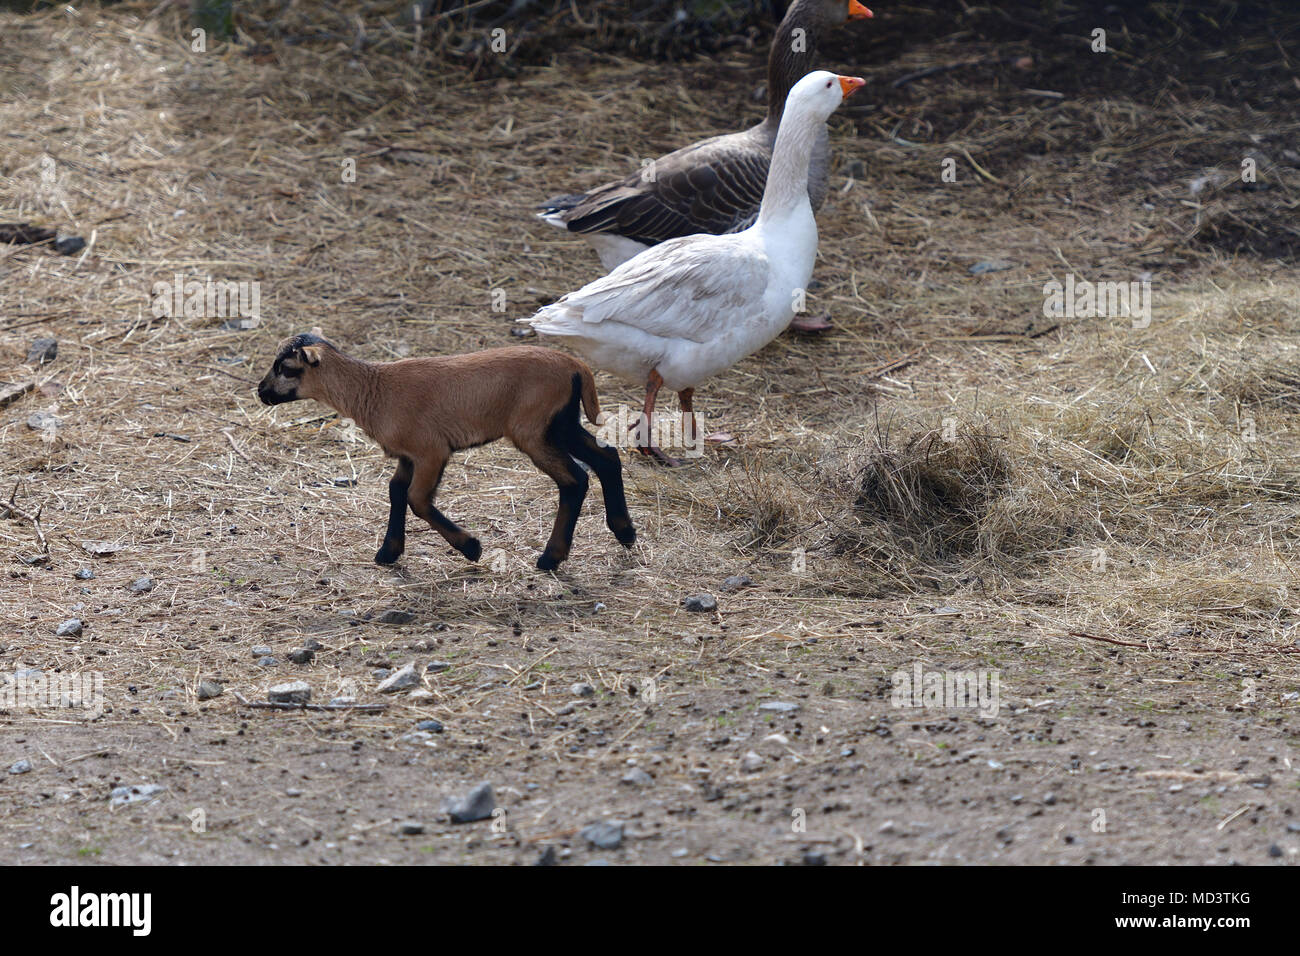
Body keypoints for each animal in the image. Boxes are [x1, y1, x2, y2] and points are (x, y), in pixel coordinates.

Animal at [256, 331, 636, 570]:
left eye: (286, 367)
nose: (260, 392)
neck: (373, 390)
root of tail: (577, 368)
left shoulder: (431, 451)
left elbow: (417, 499)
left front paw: (471, 547)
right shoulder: (408, 455)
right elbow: (396, 491)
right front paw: (389, 552)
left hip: (534, 428)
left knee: (574, 480)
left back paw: (551, 558)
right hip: (561, 422)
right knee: (606, 458)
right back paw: (624, 532)